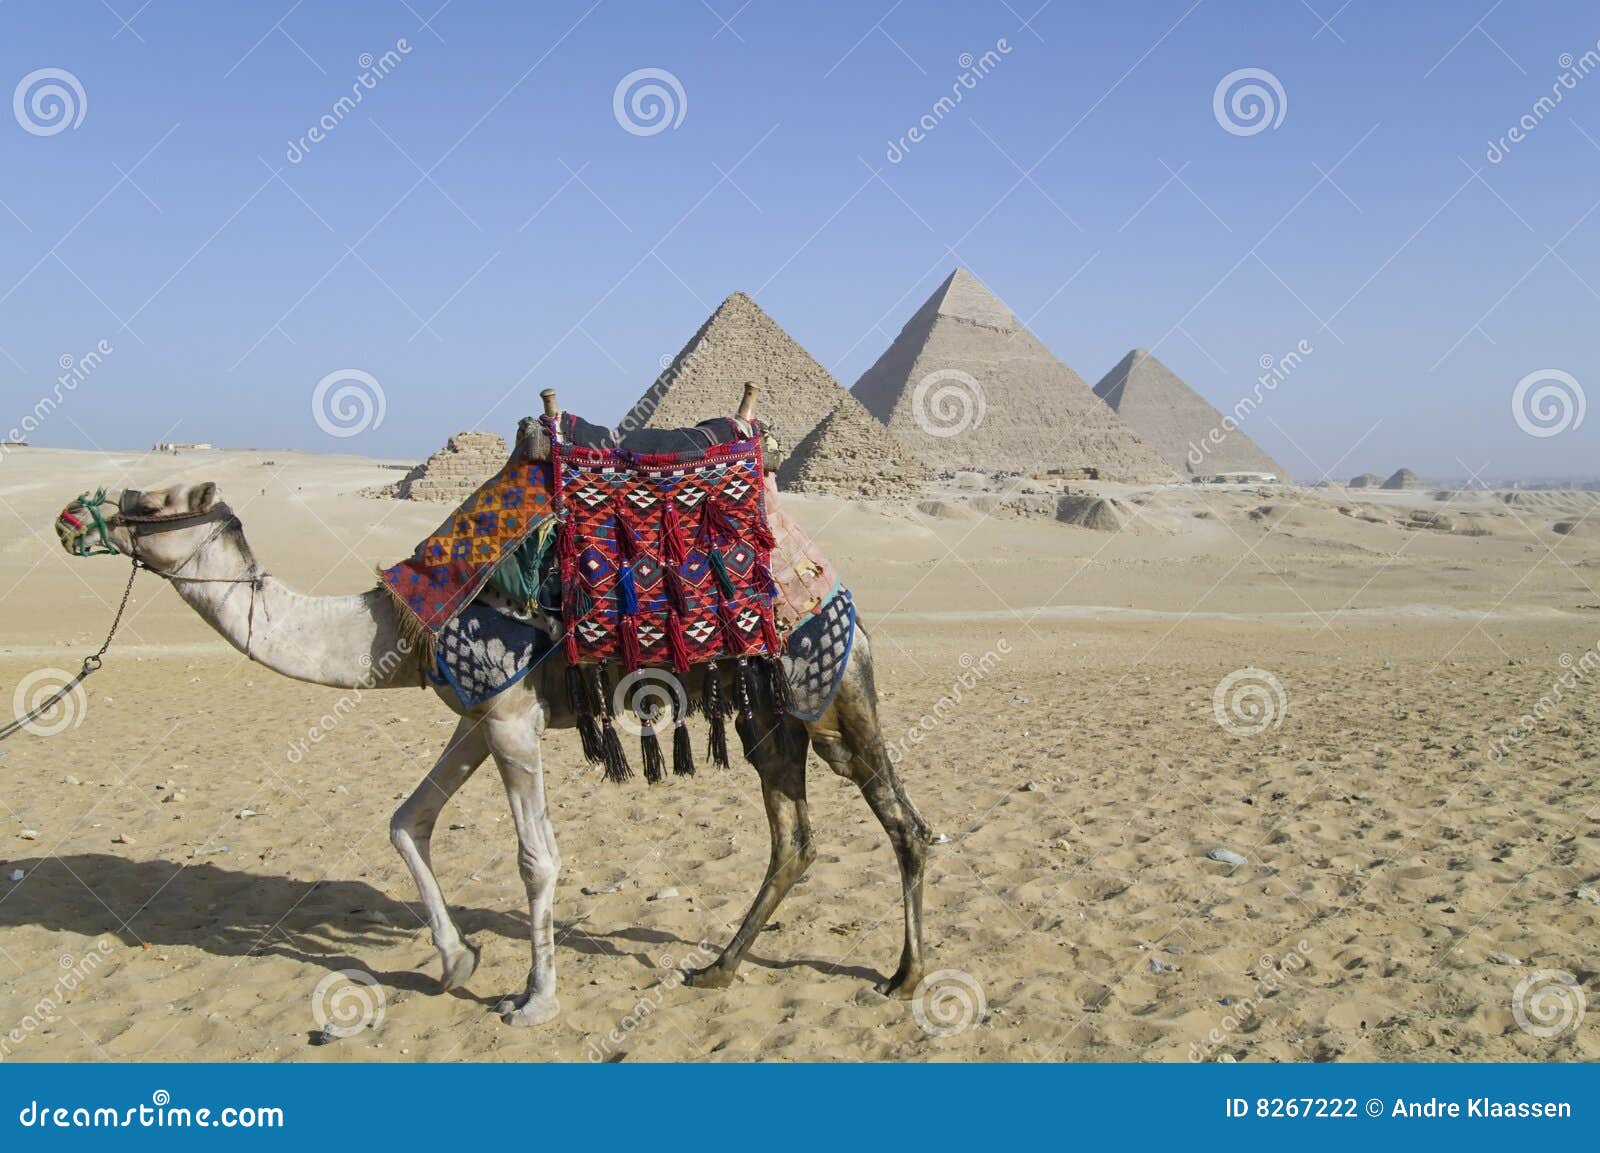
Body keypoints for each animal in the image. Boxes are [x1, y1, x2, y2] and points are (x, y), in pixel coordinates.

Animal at [54, 472, 932, 1027]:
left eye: (152, 499)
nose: (70, 515)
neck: (396, 625)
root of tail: (833, 585)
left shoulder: (509, 713)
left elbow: (536, 858)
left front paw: (534, 999)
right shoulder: (477, 713)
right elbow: (407, 820)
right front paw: (455, 961)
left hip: (832, 689)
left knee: (904, 824)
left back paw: (905, 975)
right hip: (769, 717)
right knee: (794, 839)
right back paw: (717, 966)